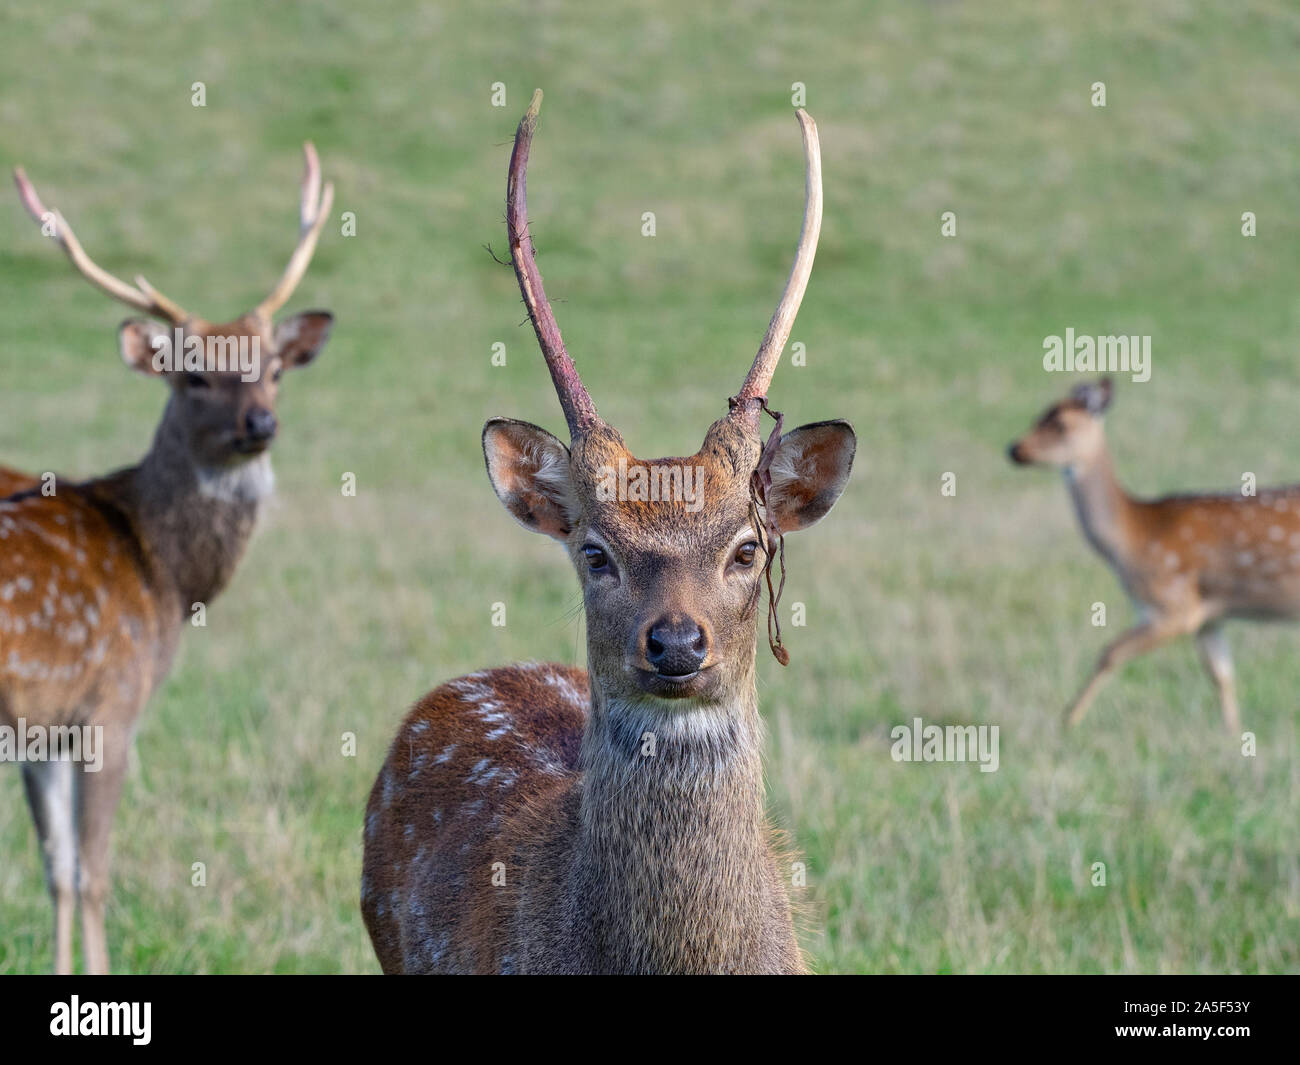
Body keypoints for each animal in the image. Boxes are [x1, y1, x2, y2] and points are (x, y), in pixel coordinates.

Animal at [1, 146, 335, 973]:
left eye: (273, 367)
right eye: (193, 374)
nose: (260, 422)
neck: (166, 573)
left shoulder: (44, 728)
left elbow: (56, 870)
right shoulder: (111, 703)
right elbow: (93, 874)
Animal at [1008, 376, 1300, 734]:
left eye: (1062, 424)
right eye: (1037, 416)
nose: (1014, 449)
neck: (1131, 537)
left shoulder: (1172, 605)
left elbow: (1110, 652)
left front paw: (1066, 722)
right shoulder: (1209, 616)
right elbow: (1222, 676)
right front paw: (1233, 735)